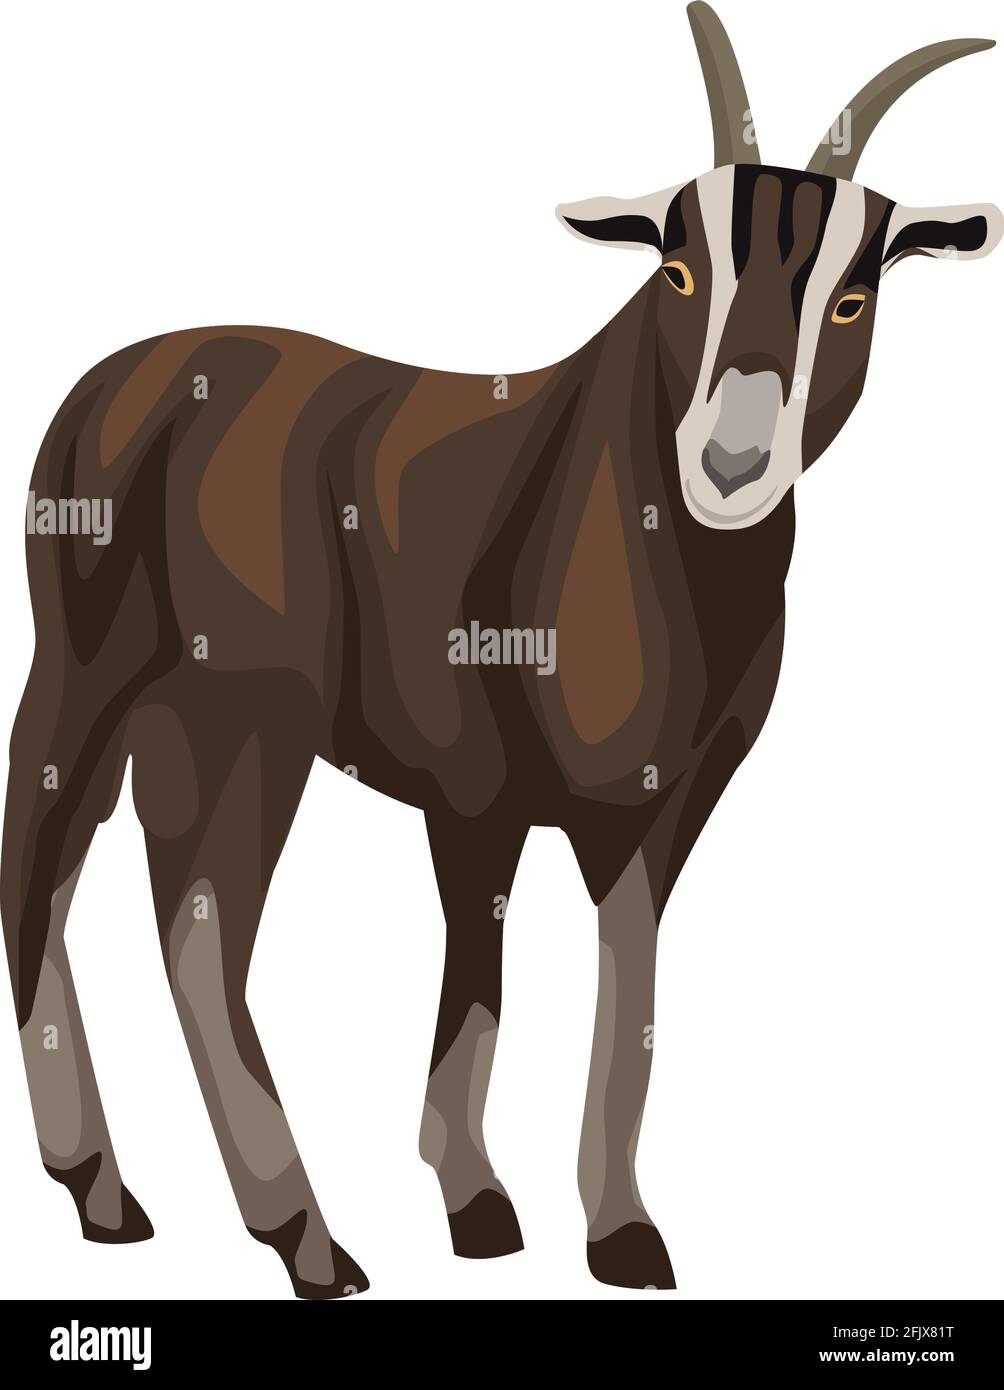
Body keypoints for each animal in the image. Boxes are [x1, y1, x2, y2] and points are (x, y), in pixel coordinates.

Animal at [3, 2, 999, 1298]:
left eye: (850, 298)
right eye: (676, 267)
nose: (728, 467)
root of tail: (117, 402)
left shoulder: (592, 803)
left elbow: (569, 970)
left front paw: (530, 1210)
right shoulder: (527, 784)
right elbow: (533, 969)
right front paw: (558, 1219)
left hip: (137, 694)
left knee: (81, 863)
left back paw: (104, 1188)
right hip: (227, 702)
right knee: (178, 908)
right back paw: (299, 1233)